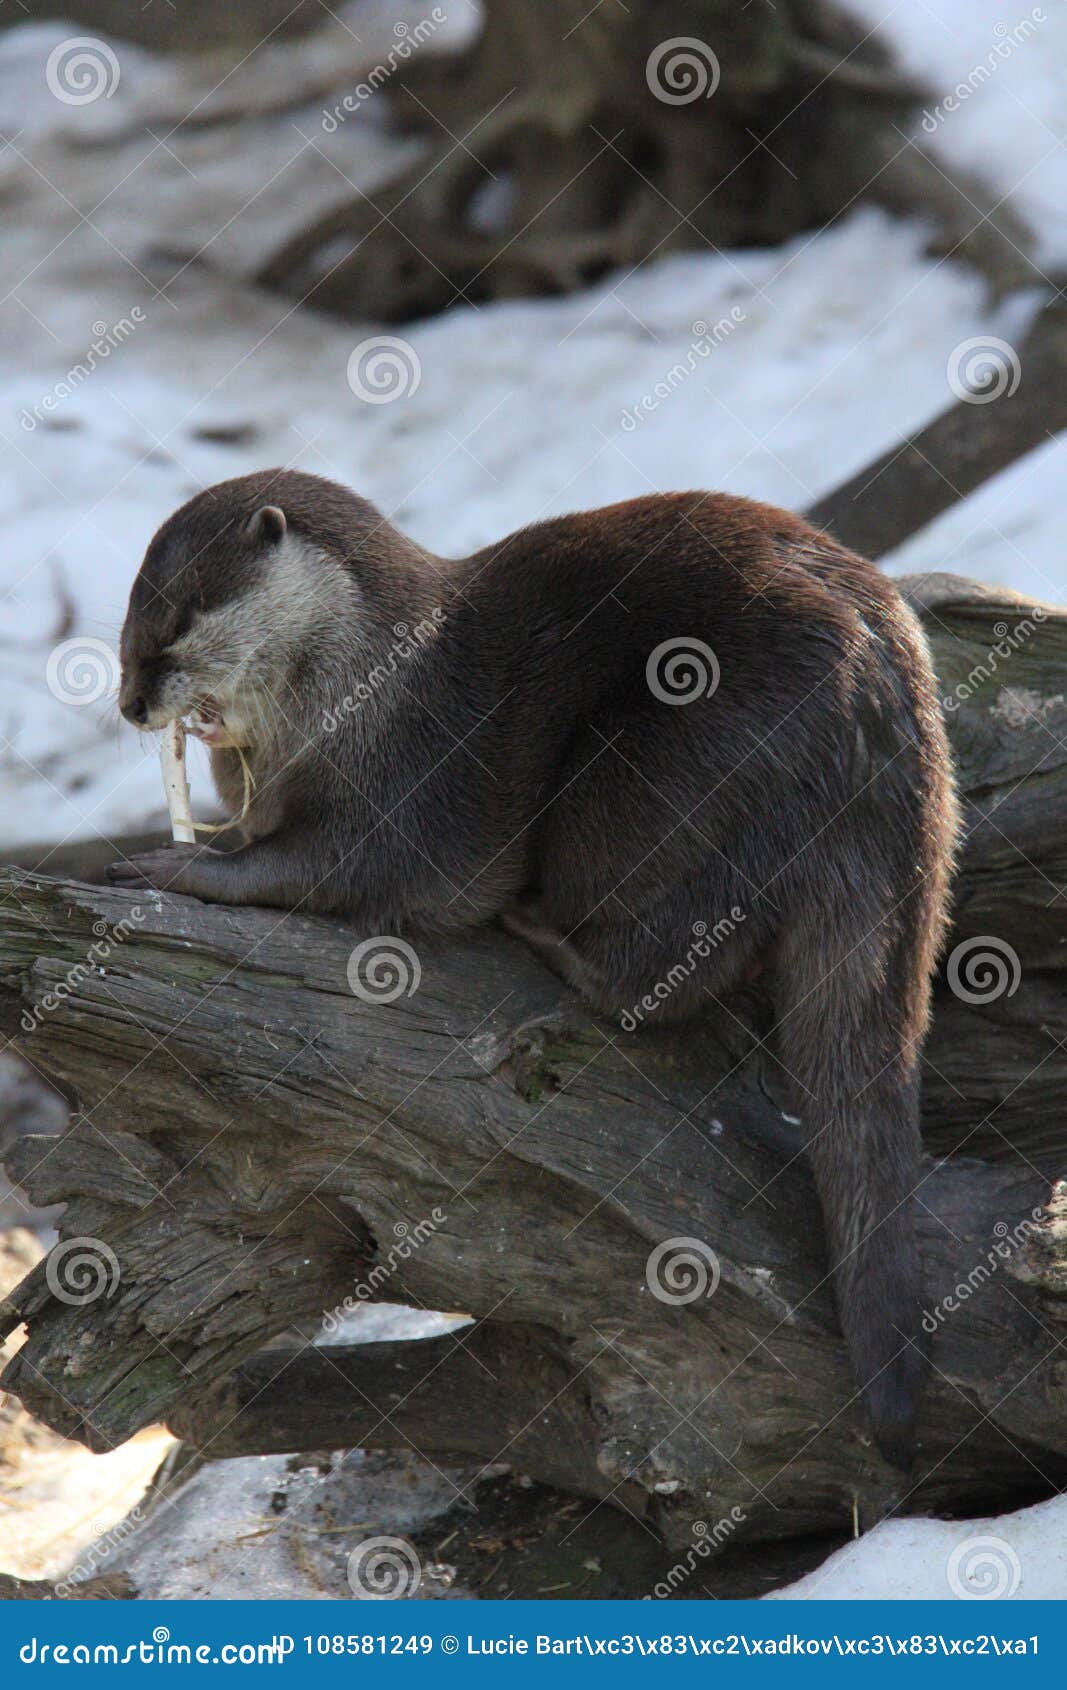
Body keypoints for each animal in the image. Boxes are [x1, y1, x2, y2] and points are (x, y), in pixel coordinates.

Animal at [111, 469, 958, 1468]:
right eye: (133, 613)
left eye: (179, 618)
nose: (129, 703)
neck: (360, 689)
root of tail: (886, 701)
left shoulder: (400, 784)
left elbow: (327, 870)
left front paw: (174, 867)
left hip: (653, 772)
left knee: (664, 966)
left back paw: (546, 938)